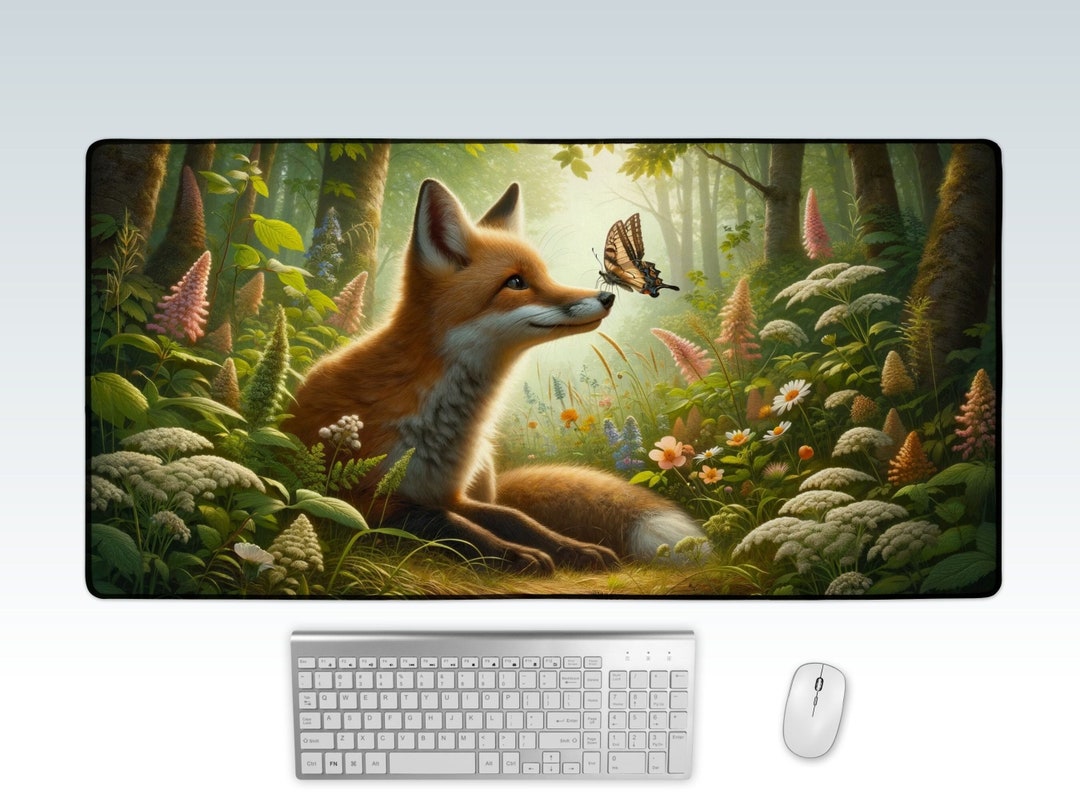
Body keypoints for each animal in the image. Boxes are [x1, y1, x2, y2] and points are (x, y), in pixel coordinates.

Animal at [287, 179, 701, 573]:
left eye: (545, 274)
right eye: (515, 282)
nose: (607, 298)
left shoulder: (450, 494)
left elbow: (517, 518)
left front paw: (573, 548)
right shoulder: (360, 499)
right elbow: (446, 524)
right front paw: (515, 556)